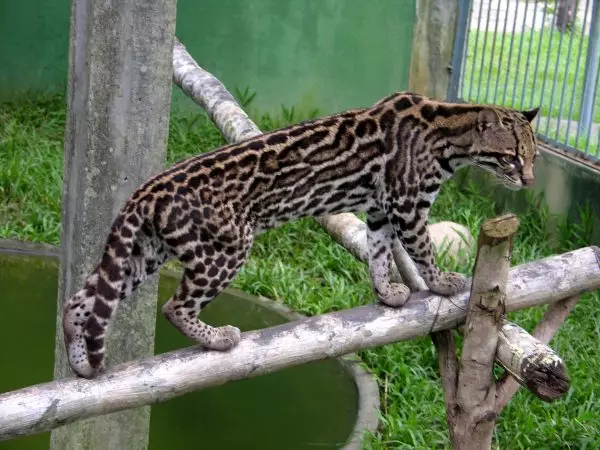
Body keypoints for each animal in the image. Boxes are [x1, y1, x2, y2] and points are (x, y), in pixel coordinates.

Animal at [62, 90, 540, 376]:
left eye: (534, 156)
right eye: (512, 158)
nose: (530, 181)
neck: (447, 134)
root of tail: (145, 191)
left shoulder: (380, 211)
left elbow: (379, 251)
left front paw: (386, 292)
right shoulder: (406, 205)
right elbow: (420, 249)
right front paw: (441, 282)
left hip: (145, 253)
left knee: (80, 301)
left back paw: (79, 358)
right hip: (227, 248)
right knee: (174, 306)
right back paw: (216, 339)